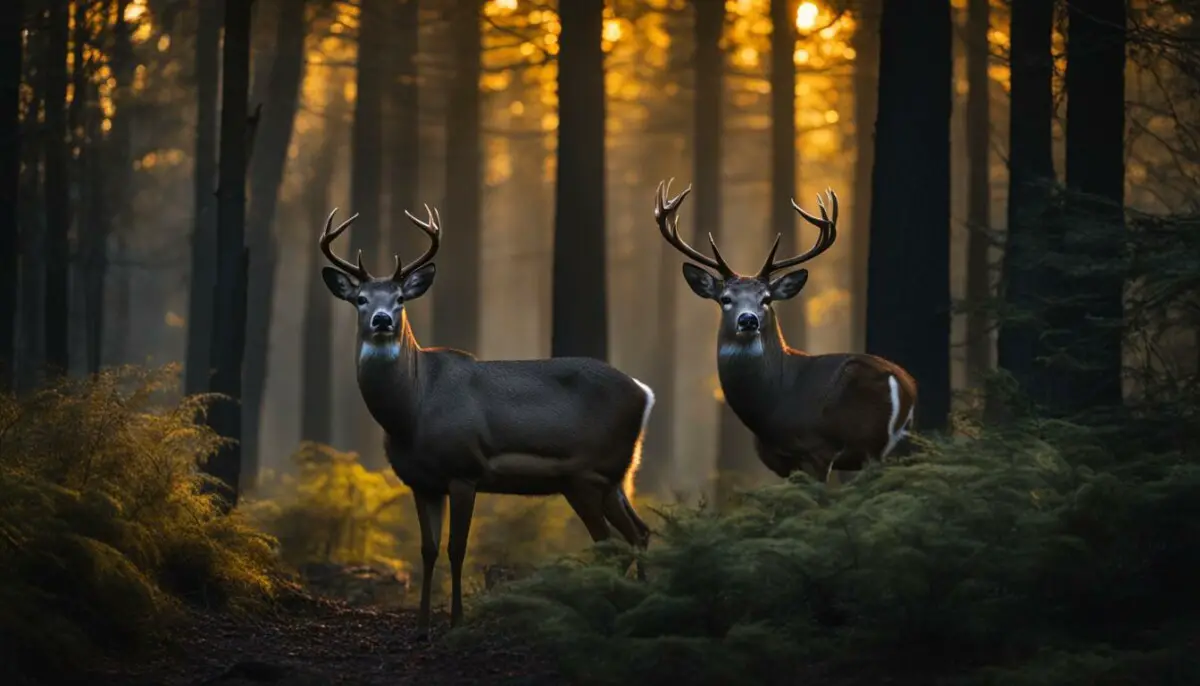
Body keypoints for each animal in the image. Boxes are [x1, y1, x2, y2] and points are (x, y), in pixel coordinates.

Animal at [319, 205, 654, 639]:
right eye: (360, 298)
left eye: (399, 299)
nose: (380, 320)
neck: (412, 412)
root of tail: (644, 393)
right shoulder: (421, 481)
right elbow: (427, 550)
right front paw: (422, 627)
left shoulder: (464, 468)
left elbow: (457, 548)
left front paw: (457, 621)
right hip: (613, 476)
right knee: (638, 533)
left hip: (587, 474)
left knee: (610, 542)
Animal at [652, 179, 918, 484]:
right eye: (725, 299)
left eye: (766, 298)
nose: (748, 320)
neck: (771, 407)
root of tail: (904, 385)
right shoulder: (780, 461)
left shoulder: (817, 450)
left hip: (866, 441)